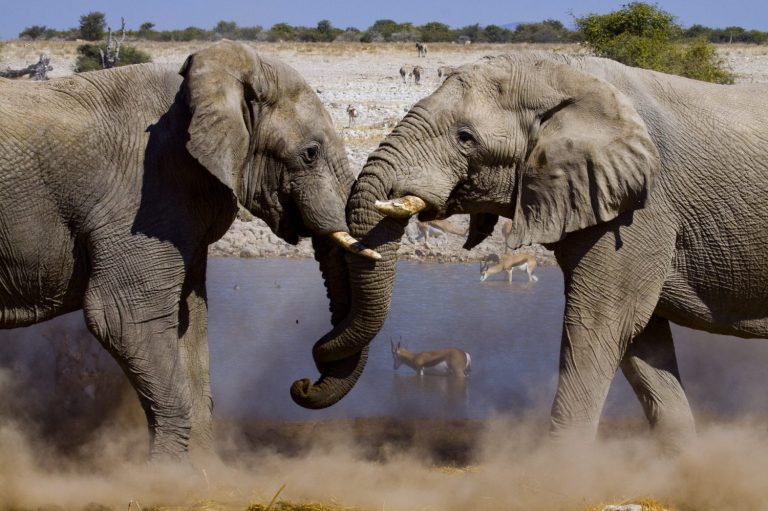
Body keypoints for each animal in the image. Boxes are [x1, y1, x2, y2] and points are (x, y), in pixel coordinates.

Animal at [0, 40, 377, 461]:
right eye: (311, 153)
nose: (302, 385)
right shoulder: (143, 196)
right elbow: (123, 317)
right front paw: (167, 474)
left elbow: (191, 319)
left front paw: (204, 472)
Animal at [289, 51, 768, 451]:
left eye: (466, 138)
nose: (303, 385)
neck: (564, 72)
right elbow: (641, 341)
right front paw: (682, 471)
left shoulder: (640, 210)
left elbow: (600, 324)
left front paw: (553, 480)